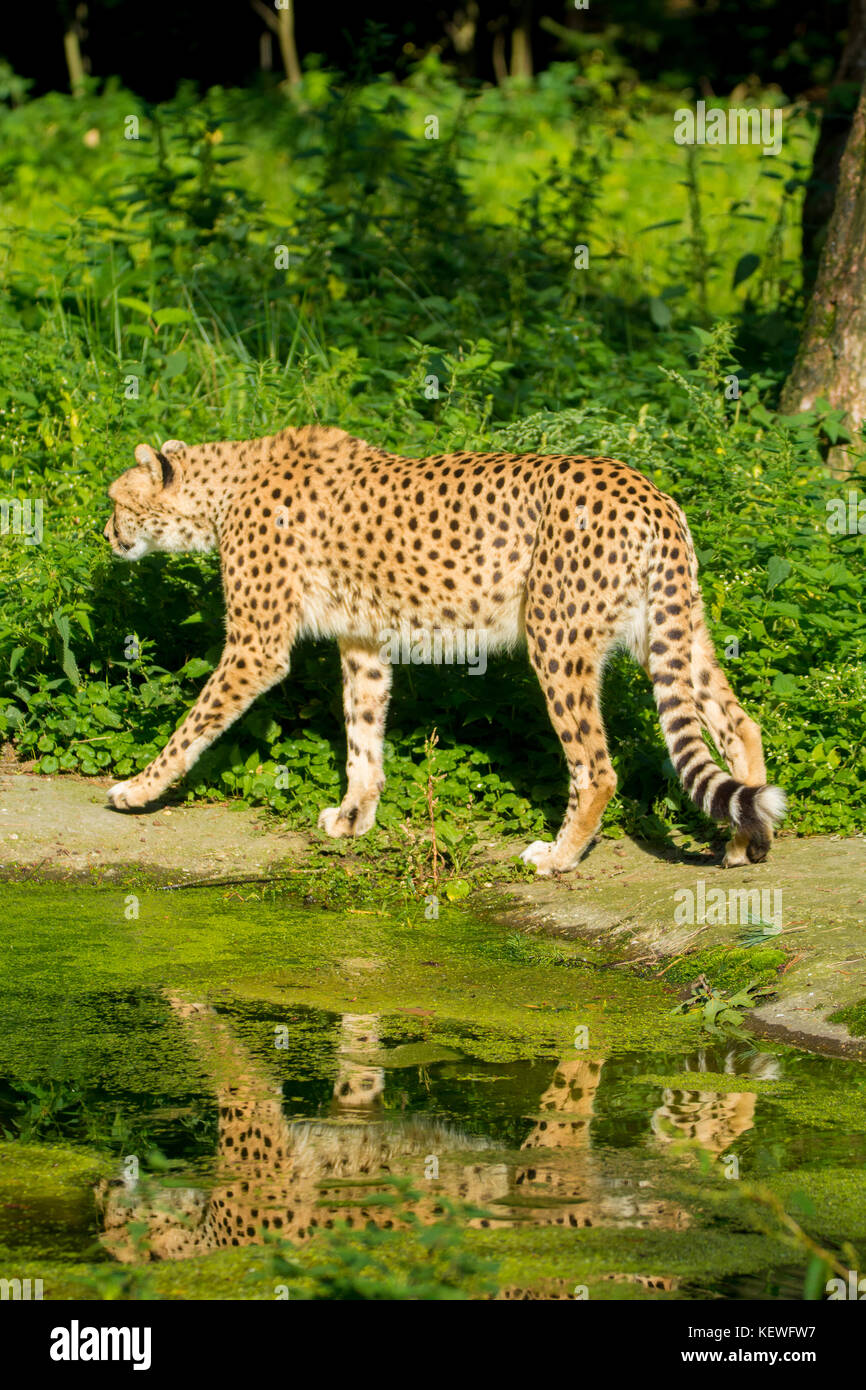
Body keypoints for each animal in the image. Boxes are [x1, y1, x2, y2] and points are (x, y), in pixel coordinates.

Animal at [103, 425, 785, 873]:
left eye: (115, 501)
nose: (104, 533)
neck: (220, 489)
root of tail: (646, 487)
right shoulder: (363, 641)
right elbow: (362, 738)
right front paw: (353, 819)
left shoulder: (256, 645)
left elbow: (192, 725)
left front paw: (138, 788)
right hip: (670, 631)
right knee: (738, 725)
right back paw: (742, 841)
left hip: (556, 639)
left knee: (596, 766)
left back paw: (559, 856)